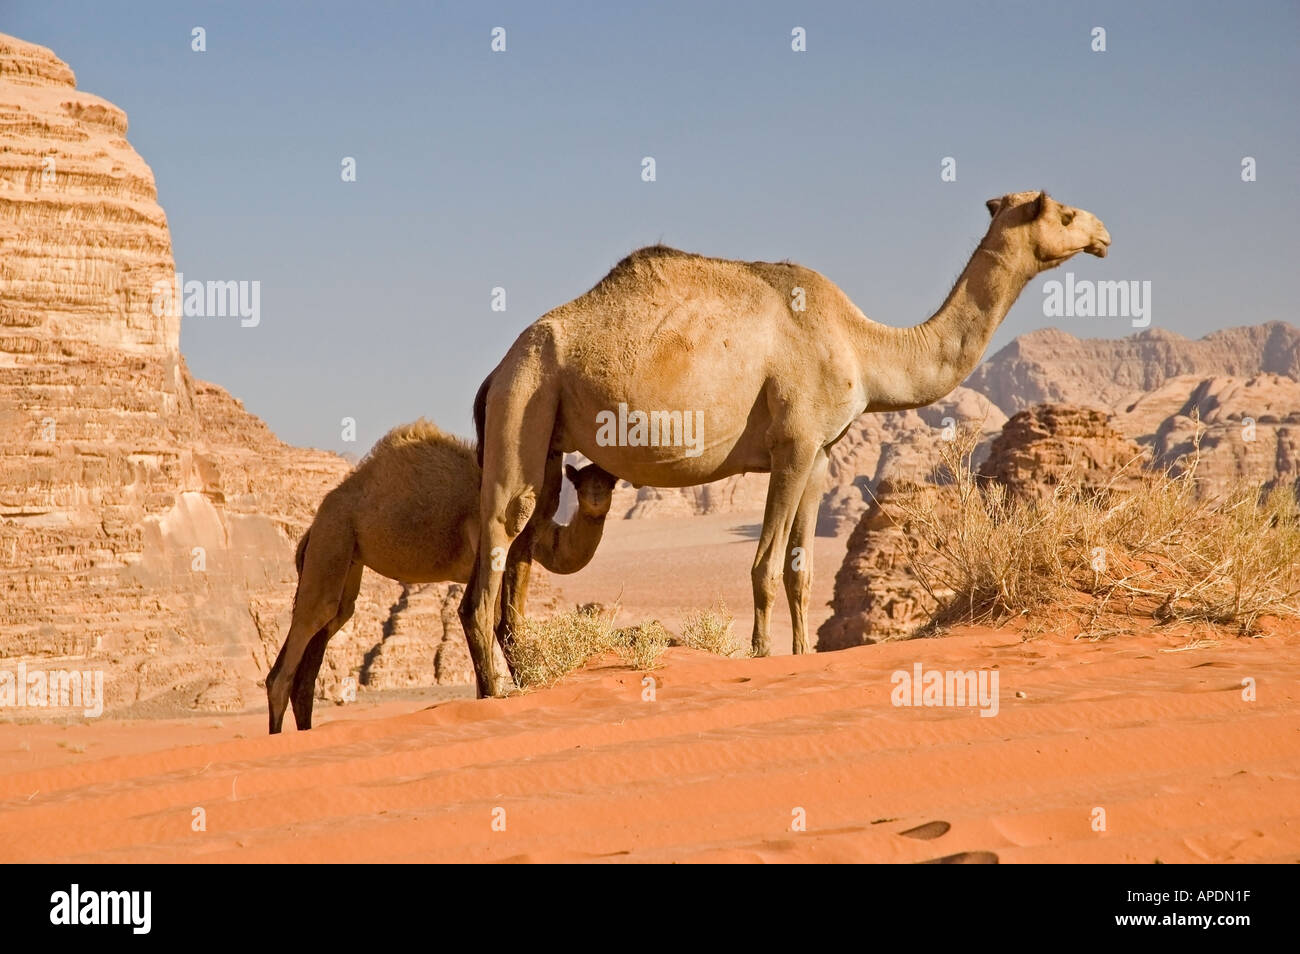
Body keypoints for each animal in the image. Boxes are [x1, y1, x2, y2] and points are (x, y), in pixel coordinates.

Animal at [266, 418, 616, 733]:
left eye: (608, 481)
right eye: (579, 483)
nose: (596, 498)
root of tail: (313, 526)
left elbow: (496, 622)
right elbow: (491, 619)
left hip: (345, 559)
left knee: (328, 628)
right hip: (332, 538)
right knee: (305, 632)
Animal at [461, 190, 1110, 698]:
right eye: (1065, 212)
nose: (1104, 234)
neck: (861, 347)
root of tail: (494, 372)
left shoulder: (820, 454)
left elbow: (802, 570)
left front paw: (799, 657)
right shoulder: (792, 444)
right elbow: (765, 567)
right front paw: (760, 657)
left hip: (544, 428)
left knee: (528, 535)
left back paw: (524, 680)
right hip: (526, 395)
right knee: (500, 538)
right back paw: (495, 691)